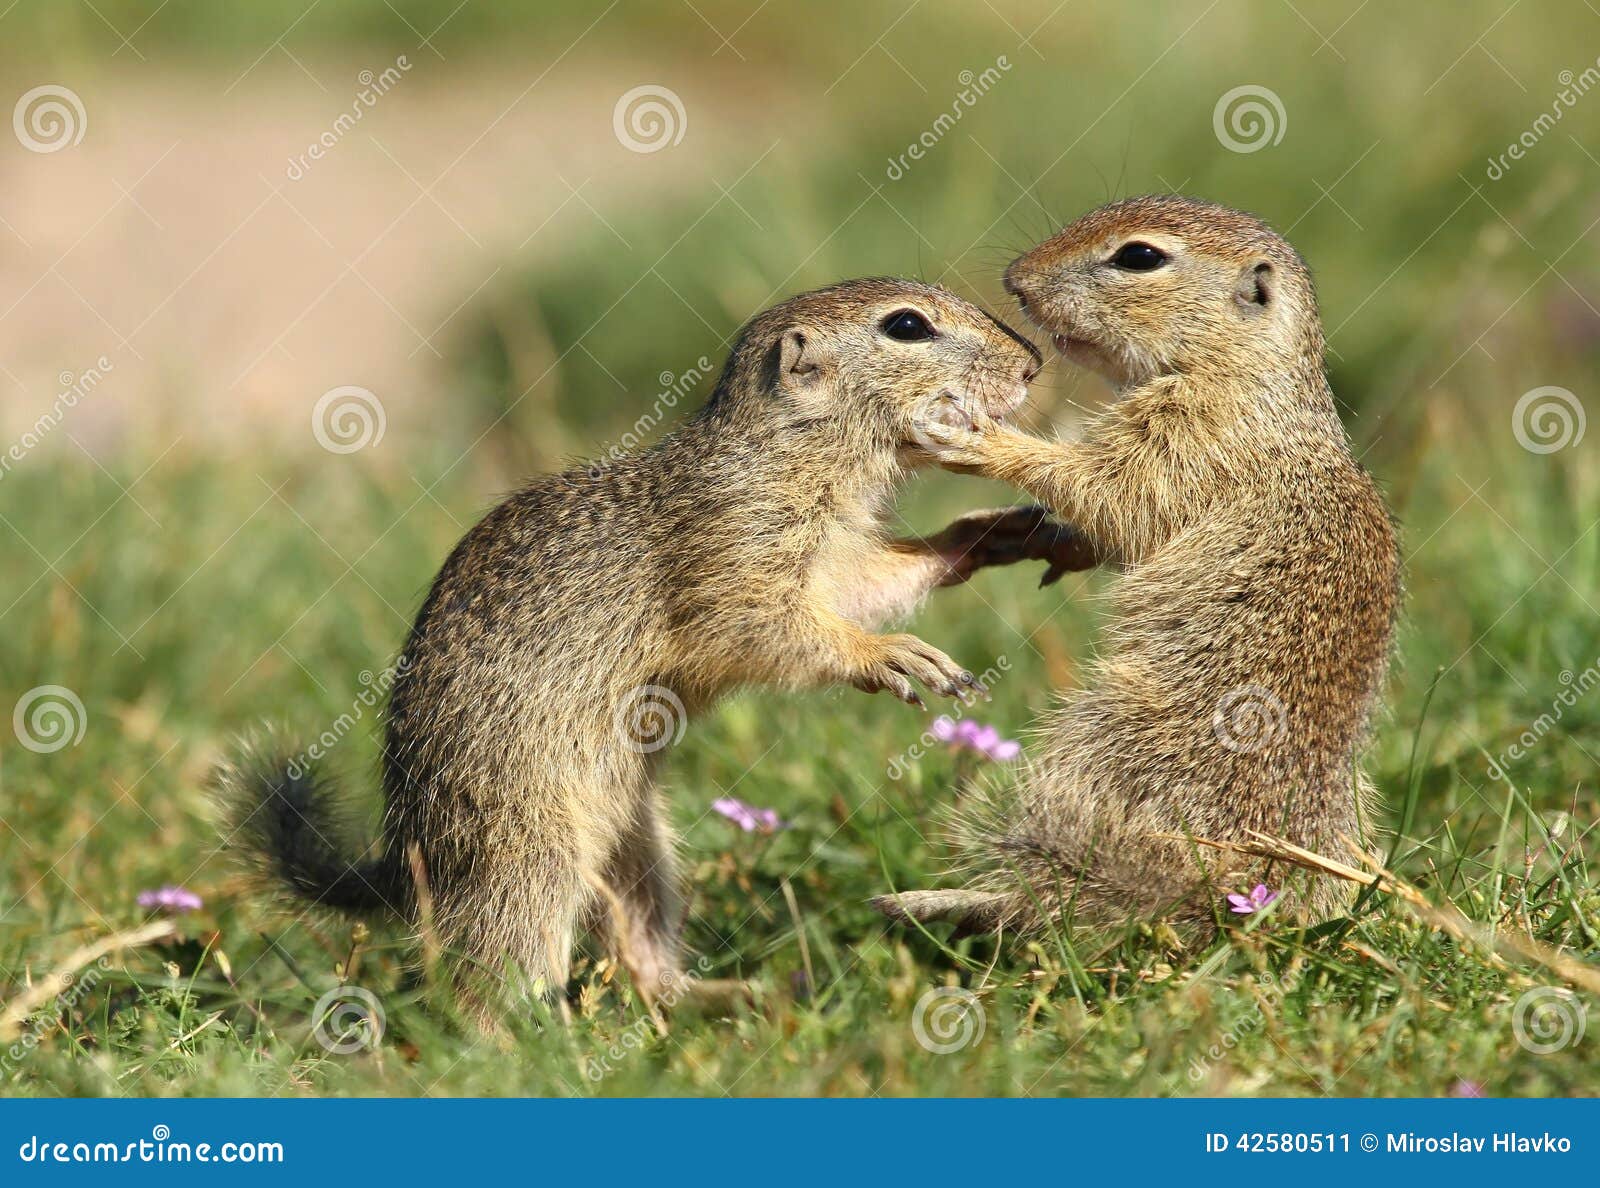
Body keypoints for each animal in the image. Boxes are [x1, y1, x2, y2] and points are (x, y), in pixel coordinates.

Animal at [218, 277, 1088, 1017]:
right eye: (907, 326)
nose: (1033, 361)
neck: (788, 454)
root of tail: (406, 856)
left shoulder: (836, 563)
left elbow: (875, 584)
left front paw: (988, 533)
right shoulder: (733, 561)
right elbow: (774, 632)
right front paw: (892, 656)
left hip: (639, 851)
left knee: (639, 958)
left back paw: (733, 997)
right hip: (528, 851)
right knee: (478, 984)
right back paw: (531, 1046)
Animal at [876, 195, 1401, 937]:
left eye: (1140, 256)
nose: (1015, 280)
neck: (1244, 372)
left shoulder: (1191, 435)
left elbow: (1113, 492)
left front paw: (981, 440)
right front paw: (1045, 540)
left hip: (1097, 745)